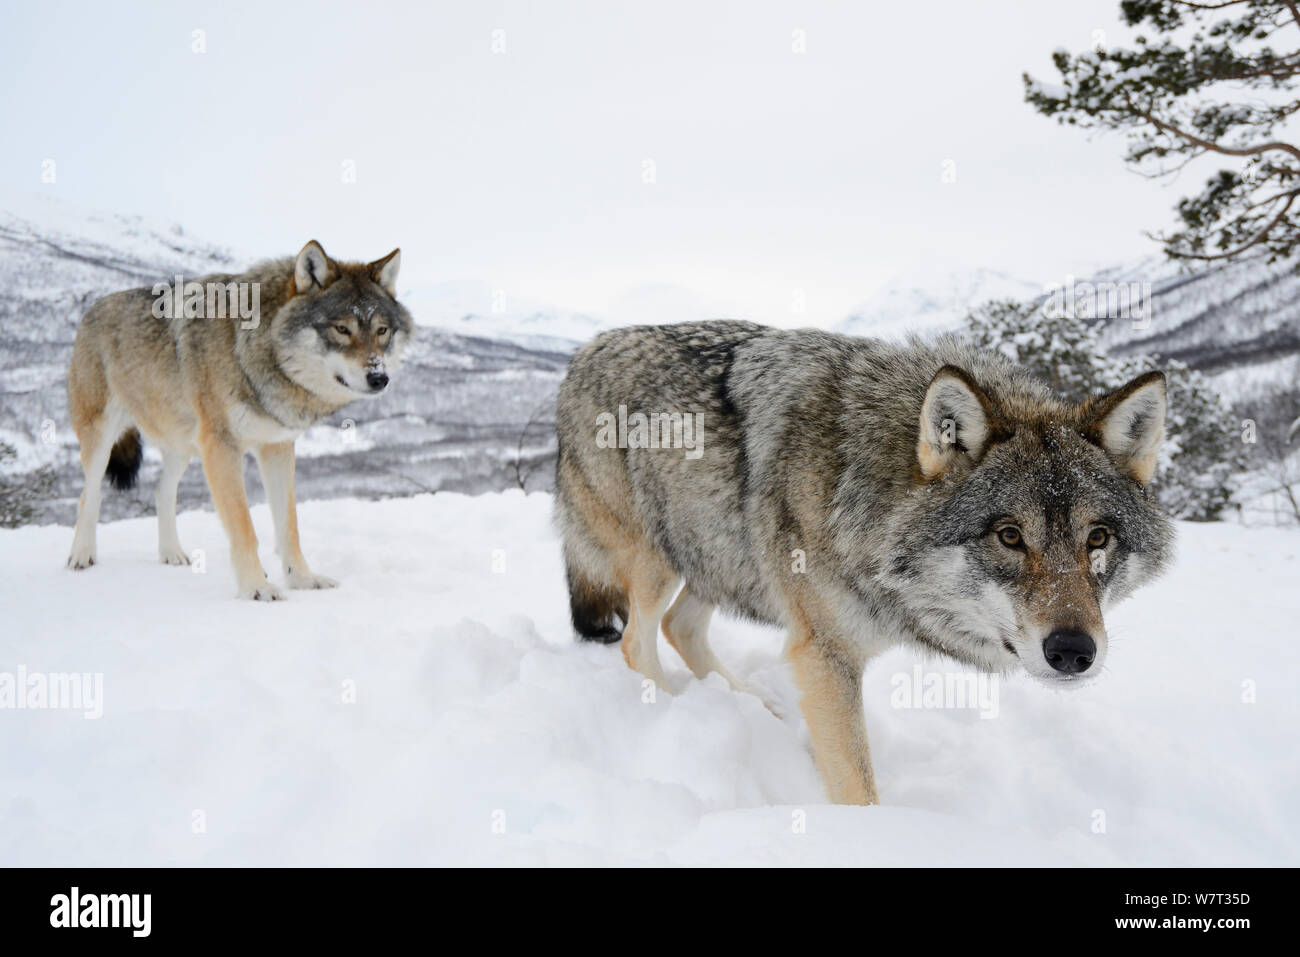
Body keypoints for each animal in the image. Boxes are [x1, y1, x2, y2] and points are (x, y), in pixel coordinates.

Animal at [66, 241, 412, 600]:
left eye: (382, 331)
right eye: (342, 329)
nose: (379, 378)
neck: (250, 348)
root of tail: (93, 307)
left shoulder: (276, 447)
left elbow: (289, 527)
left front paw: (302, 579)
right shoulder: (221, 447)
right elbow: (244, 528)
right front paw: (257, 588)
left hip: (183, 448)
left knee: (163, 492)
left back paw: (171, 553)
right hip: (102, 438)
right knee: (89, 494)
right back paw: (81, 555)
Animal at [555, 321, 1174, 804]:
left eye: (1097, 538)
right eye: (1010, 536)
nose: (1073, 651)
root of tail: (584, 352)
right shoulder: (825, 654)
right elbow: (857, 787)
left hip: (718, 550)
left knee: (676, 626)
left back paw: (752, 708)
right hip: (660, 560)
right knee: (636, 642)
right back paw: (678, 713)